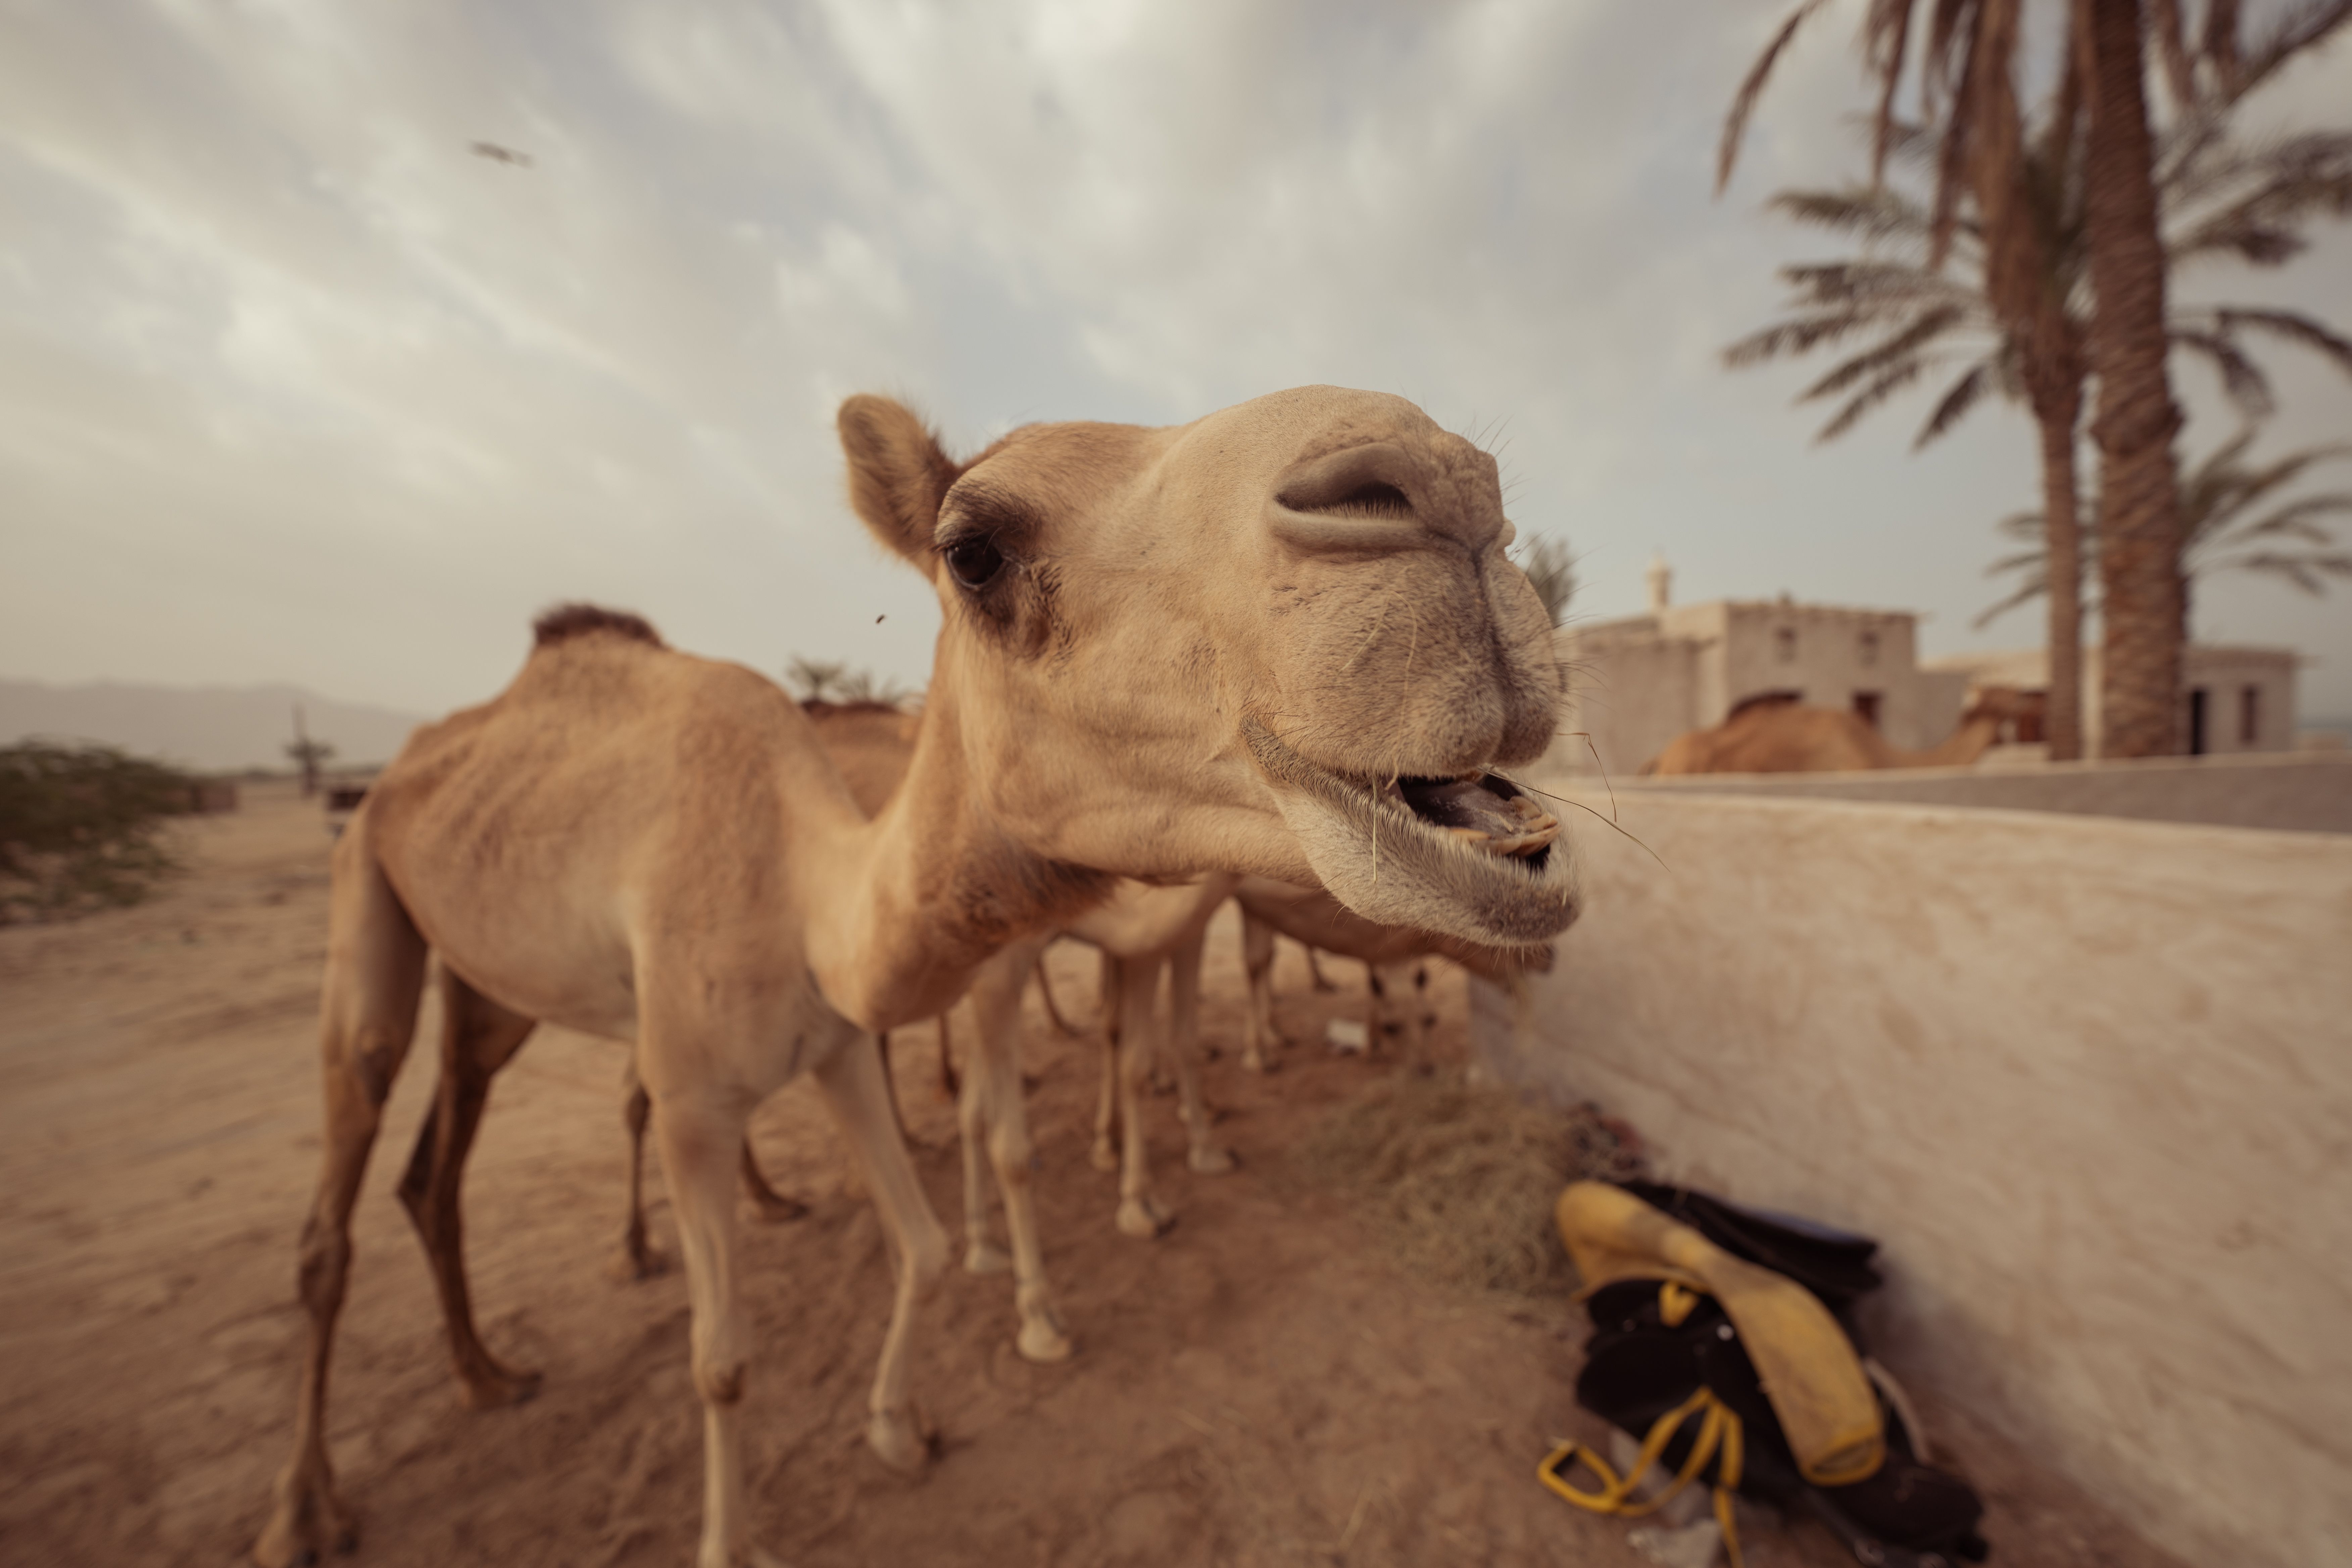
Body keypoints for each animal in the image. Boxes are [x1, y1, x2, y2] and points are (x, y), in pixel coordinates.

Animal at [255, 386, 1578, 1568]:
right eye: (971, 550)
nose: (1449, 494)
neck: (804, 898)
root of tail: (400, 768)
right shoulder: (701, 1095)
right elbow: (723, 1353)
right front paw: (740, 1537)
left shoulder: (841, 1041)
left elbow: (925, 1243)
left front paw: (900, 1421)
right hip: (368, 894)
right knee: (337, 1199)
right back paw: (305, 1510)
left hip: (484, 986)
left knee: (432, 1171)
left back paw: (487, 1370)